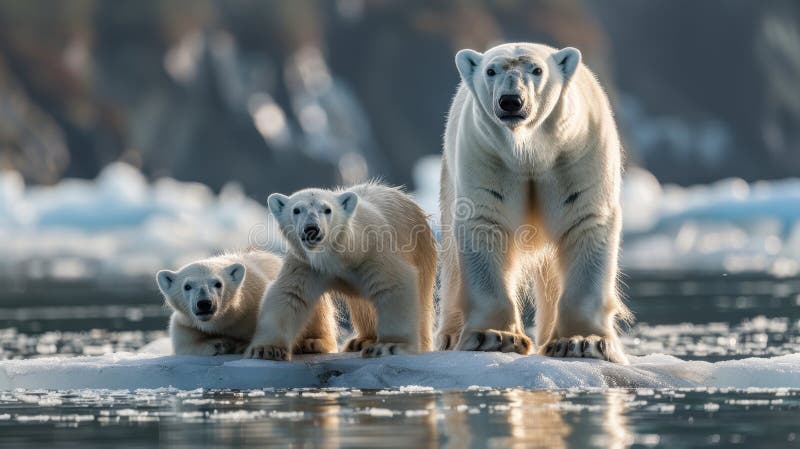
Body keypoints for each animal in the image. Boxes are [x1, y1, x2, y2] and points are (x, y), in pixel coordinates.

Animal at [156, 251, 338, 356]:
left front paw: (244, 346)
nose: (204, 303)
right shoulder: (185, 321)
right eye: (187, 286)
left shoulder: (257, 300)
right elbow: (182, 344)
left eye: (218, 283)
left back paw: (313, 343)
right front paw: (219, 344)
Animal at [244, 182, 437, 360]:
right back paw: (356, 341)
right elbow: (290, 295)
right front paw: (267, 349)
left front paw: (389, 345)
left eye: (327, 209)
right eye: (296, 210)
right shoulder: (307, 264)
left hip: (420, 249)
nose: (311, 228)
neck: (341, 254)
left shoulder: (372, 250)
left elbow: (393, 285)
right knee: (362, 307)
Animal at [435, 42, 631, 364]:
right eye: (491, 70)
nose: (511, 101)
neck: (530, 151)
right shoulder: (486, 156)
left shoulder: (578, 151)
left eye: (537, 70)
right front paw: (495, 336)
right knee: (452, 261)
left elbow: (586, 222)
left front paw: (582, 341)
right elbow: (485, 223)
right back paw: (450, 336)